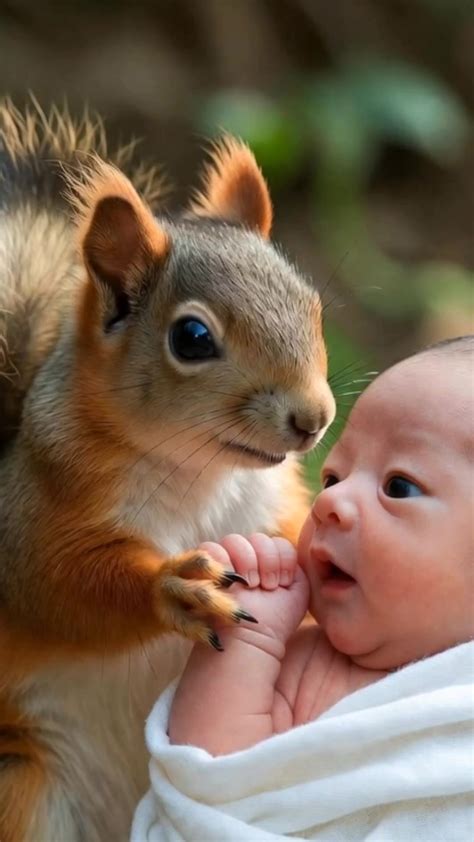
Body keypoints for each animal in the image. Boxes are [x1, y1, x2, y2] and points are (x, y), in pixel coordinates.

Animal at [0, 99, 335, 841]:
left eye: (314, 306)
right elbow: (58, 587)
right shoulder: (29, 517)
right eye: (192, 338)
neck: (197, 472)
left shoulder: (273, 500)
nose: (316, 419)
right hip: (23, 788)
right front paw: (176, 587)